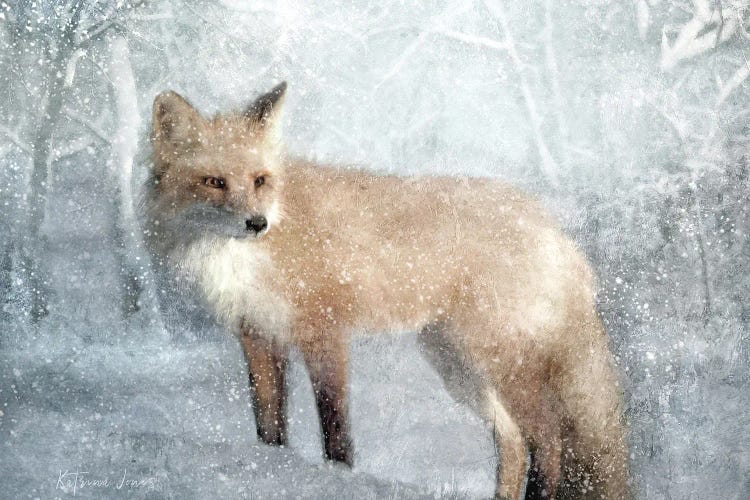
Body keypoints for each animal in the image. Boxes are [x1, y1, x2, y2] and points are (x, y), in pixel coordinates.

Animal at [144, 81, 630, 499]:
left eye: (260, 180)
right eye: (214, 182)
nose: (256, 223)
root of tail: (554, 228)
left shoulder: (325, 333)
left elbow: (336, 431)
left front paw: (336, 480)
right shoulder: (258, 336)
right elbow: (269, 426)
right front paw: (272, 470)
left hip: (498, 362)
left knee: (549, 441)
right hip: (458, 366)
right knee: (513, 445)